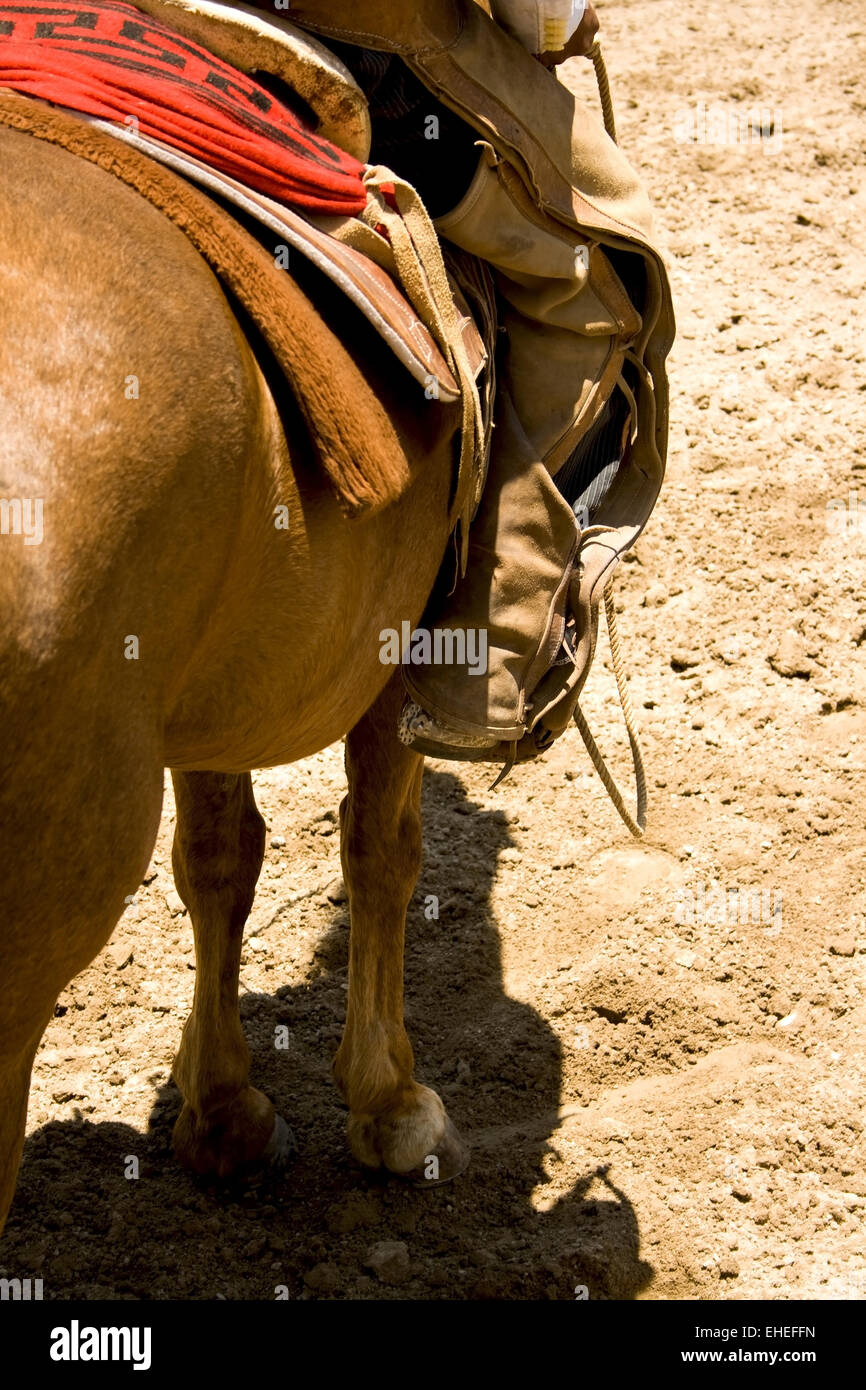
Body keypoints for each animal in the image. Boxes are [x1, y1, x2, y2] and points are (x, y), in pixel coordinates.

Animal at [0, 121, 471, 1238]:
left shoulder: (202, 677)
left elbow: (220, 858)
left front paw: (222, 1114)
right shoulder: (400, 657)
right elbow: (381, 851)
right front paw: (390, 1103)